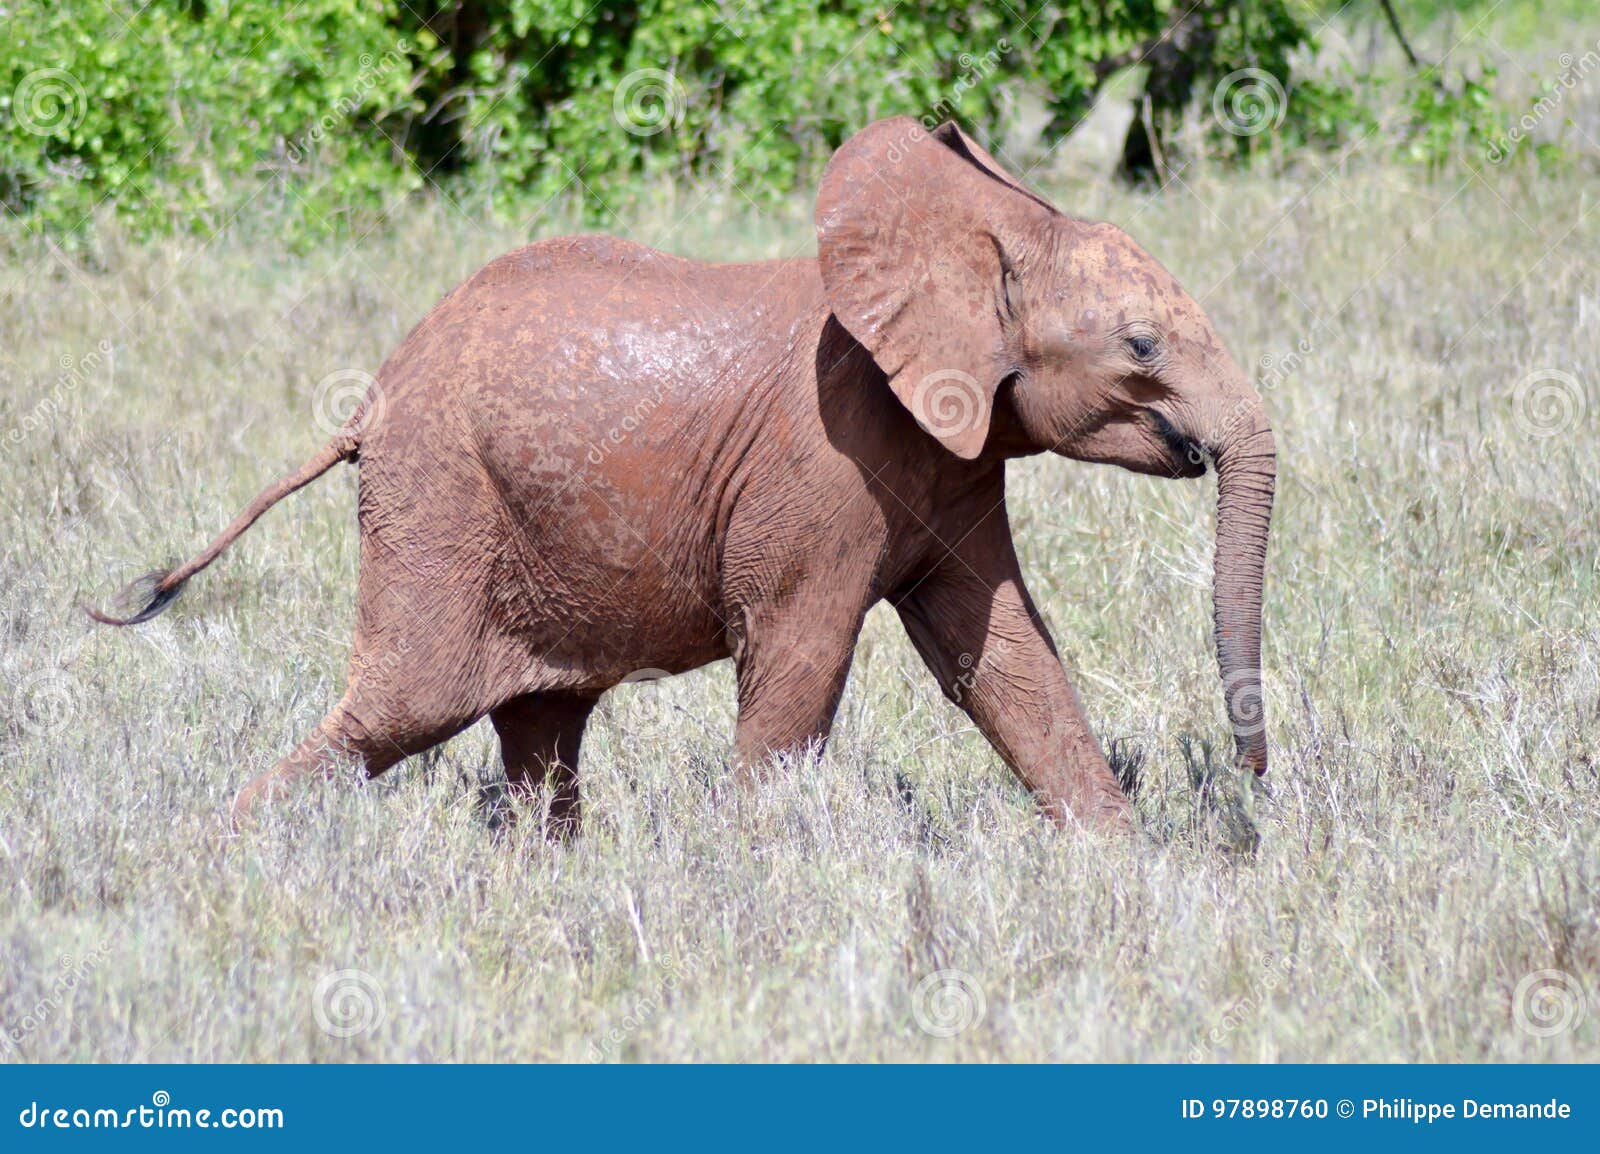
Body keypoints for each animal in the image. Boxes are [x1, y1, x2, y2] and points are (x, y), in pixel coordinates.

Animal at [92, 117, 1275, 837]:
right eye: (1140, 347)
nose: (1253, 785)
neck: (969, 236)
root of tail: (365, 403)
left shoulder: (955, 457)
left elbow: (1004, 660)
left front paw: (1126, 864)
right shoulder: (829, 462)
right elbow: (800, 665)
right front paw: (756, 881)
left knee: (540, 731)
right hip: (439, 500)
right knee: (399, 711)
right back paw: (229, 854)